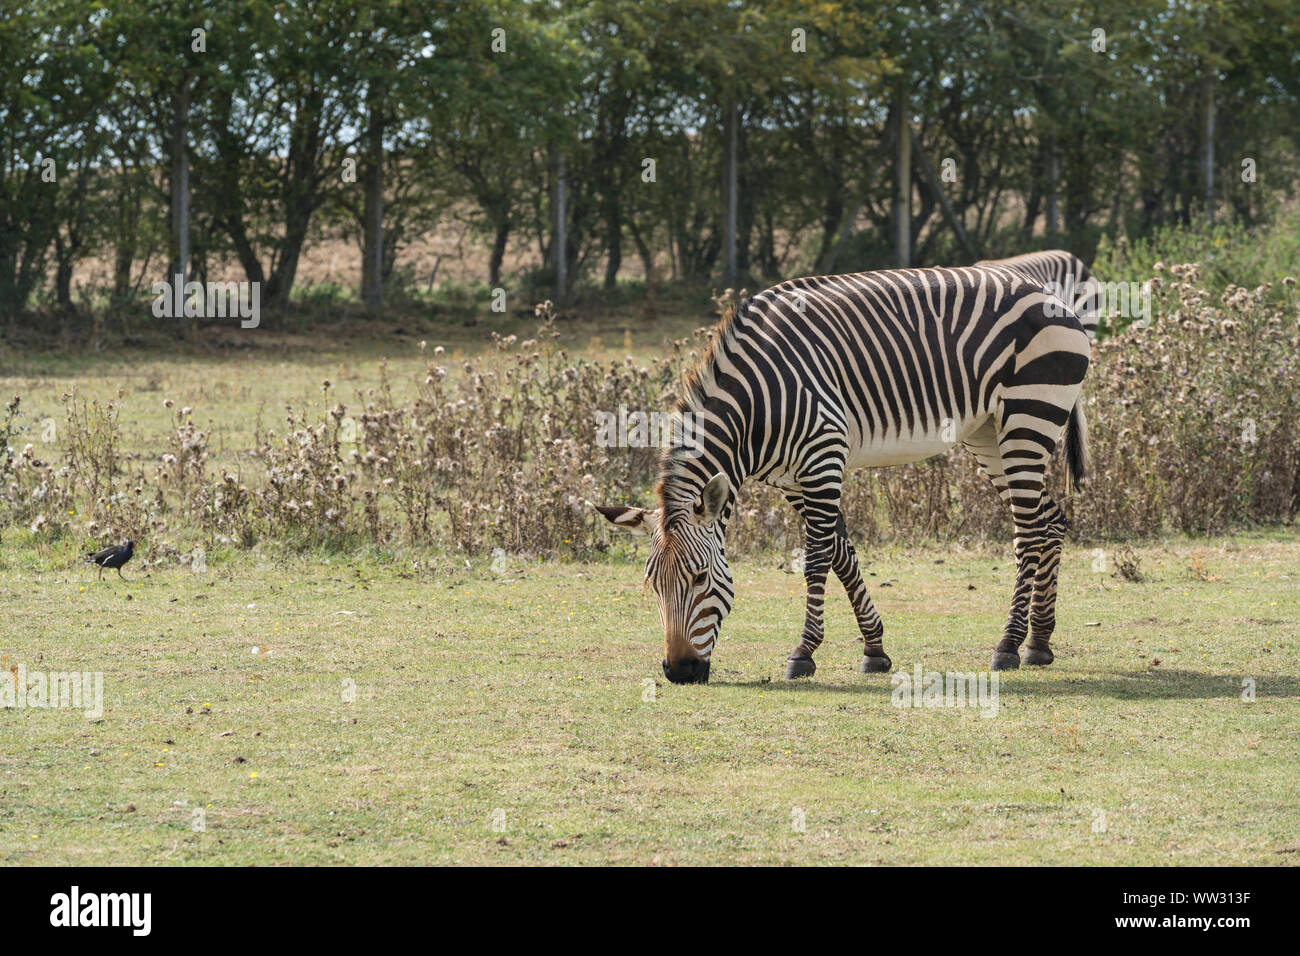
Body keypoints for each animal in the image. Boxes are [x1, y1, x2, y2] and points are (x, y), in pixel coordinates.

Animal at [597, 264, 1091, 684]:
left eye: (700, 578)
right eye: (653, 584)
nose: (679, 671)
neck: (756, 407)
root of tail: (1048, 294)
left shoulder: (823, 457)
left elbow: (817, 559)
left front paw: (803, 654)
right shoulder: (795, 479)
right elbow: (842, 554)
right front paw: (874, 649)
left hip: (1029, 414)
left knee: (1029, 530)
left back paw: (1009, 644)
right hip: (989, 433)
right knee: (1050, 520)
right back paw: (1039, 642)